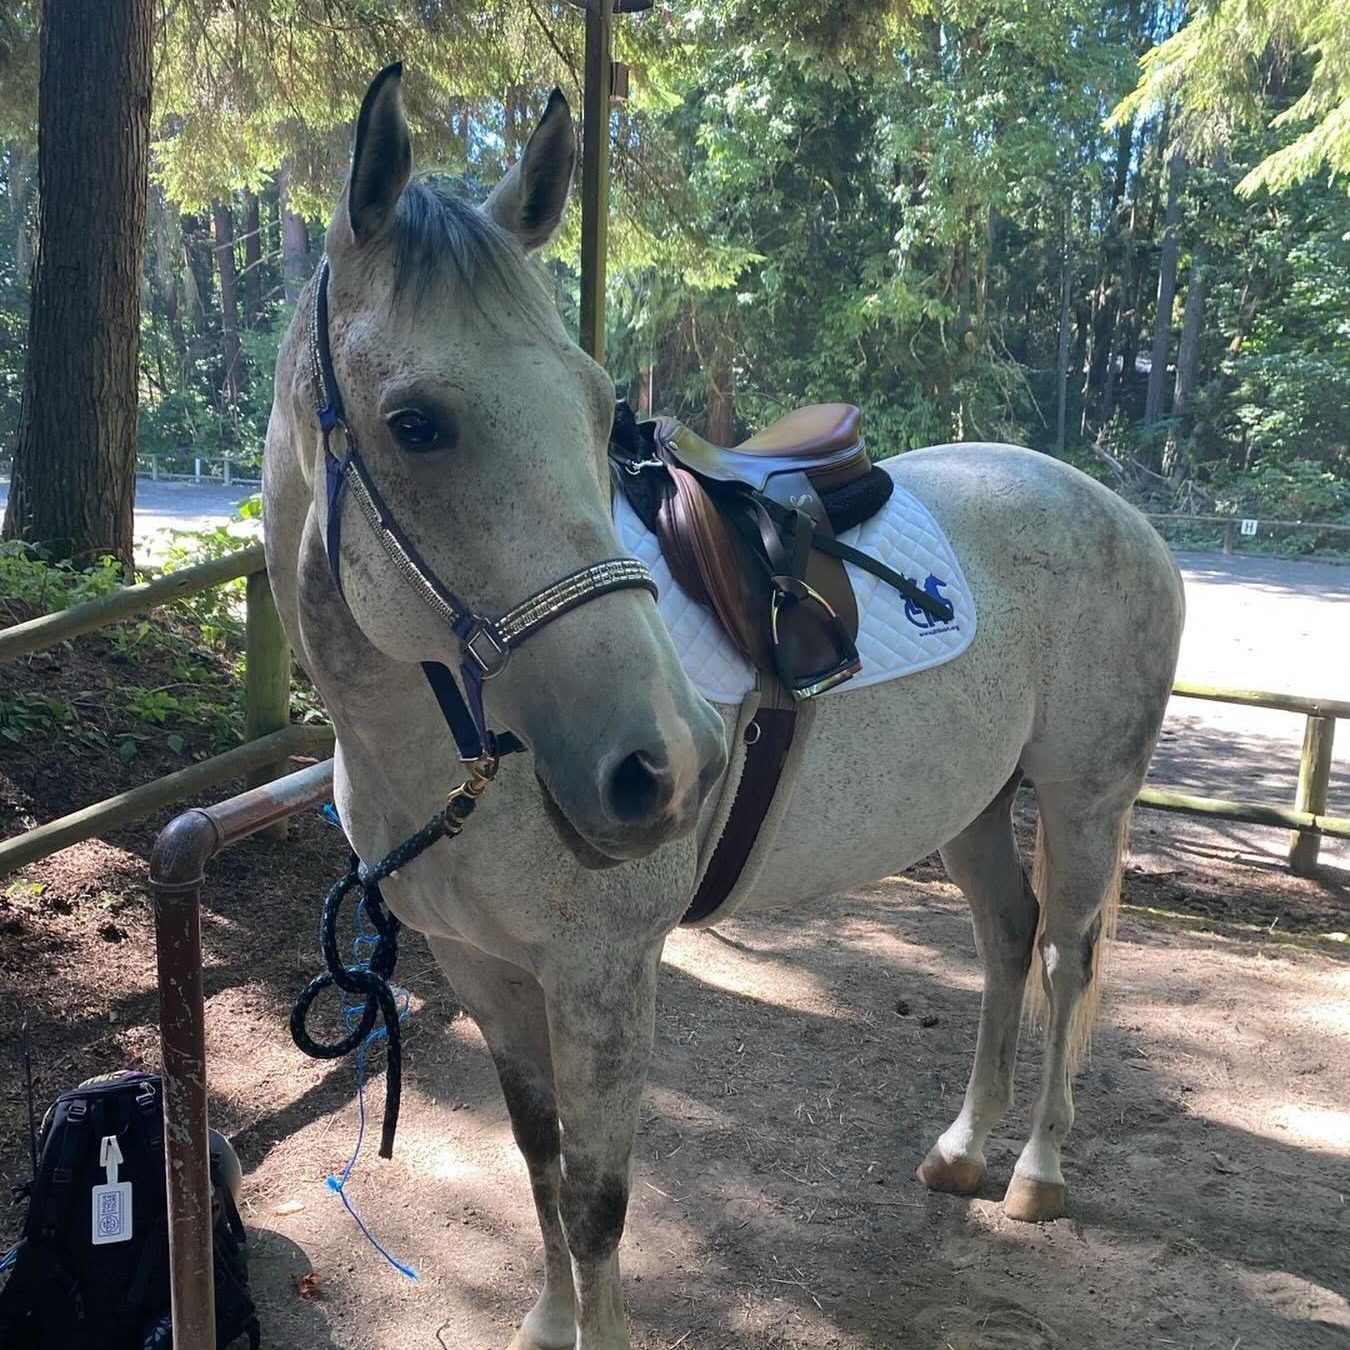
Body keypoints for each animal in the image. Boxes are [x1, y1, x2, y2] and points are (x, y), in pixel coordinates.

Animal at [263, 64, 1184, 1350]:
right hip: (971, 808)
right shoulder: (483, 970)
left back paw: (1038, 1175)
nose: (670, 764)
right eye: (416, 423)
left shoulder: (603, 974)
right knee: (1007, 940)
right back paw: (963, 1152)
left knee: (1064, 954)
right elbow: (537, 1161)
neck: (444, 755)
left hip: (1085, 799)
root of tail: (1112, 508)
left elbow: (597, 1202)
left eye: (595, 403)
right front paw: (548, 1319)